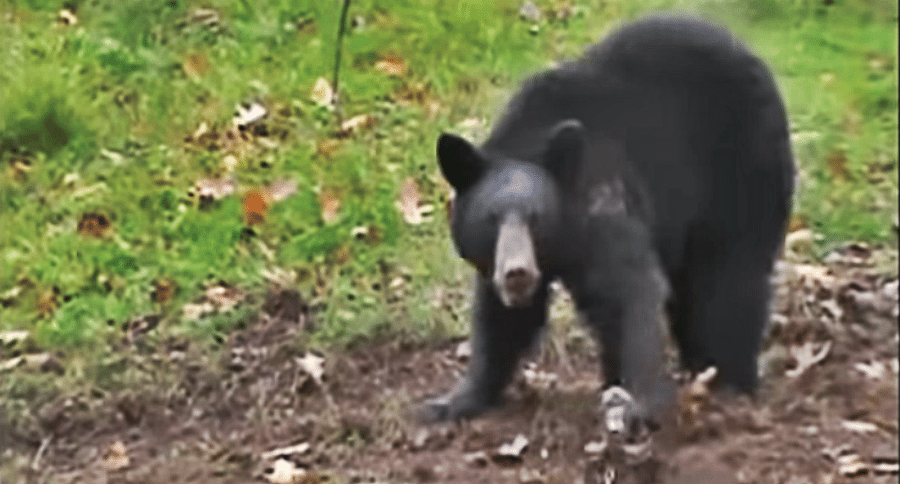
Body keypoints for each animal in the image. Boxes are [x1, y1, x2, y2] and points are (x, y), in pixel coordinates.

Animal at [419, 14, 794, 434]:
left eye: (536, 218)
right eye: (490, 219)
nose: (517, 273)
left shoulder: (602, 192)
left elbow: (628, 291)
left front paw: (644, 404)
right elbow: (502, 321)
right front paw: (454, 401)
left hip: (740, 173)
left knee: (729, 282)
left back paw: (729, 380)